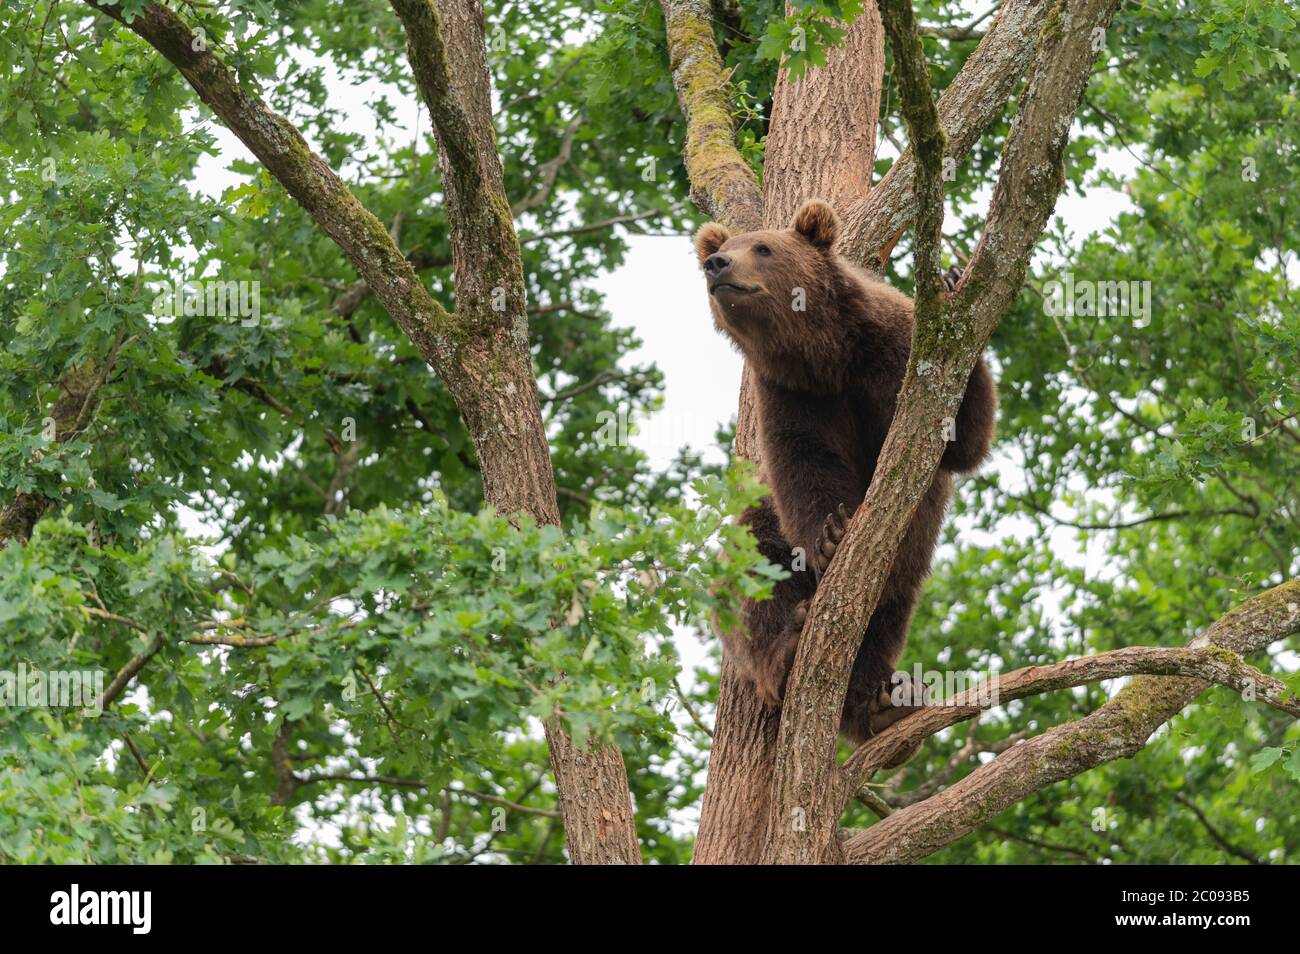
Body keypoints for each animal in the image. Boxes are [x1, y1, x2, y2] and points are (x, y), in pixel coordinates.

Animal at [696, 198, 997, 761]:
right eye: (727, 249)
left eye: (762, 248)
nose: (717, 265)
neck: (824, 355)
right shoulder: (790, 397)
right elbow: (805, 466)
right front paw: (833, 532)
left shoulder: (893, 349)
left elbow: (963, 440)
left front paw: (951, 280)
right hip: (760, 534)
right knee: (755, 584)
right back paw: (787, 652)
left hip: (906, 567)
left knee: (885, 620)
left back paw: (884, 700)